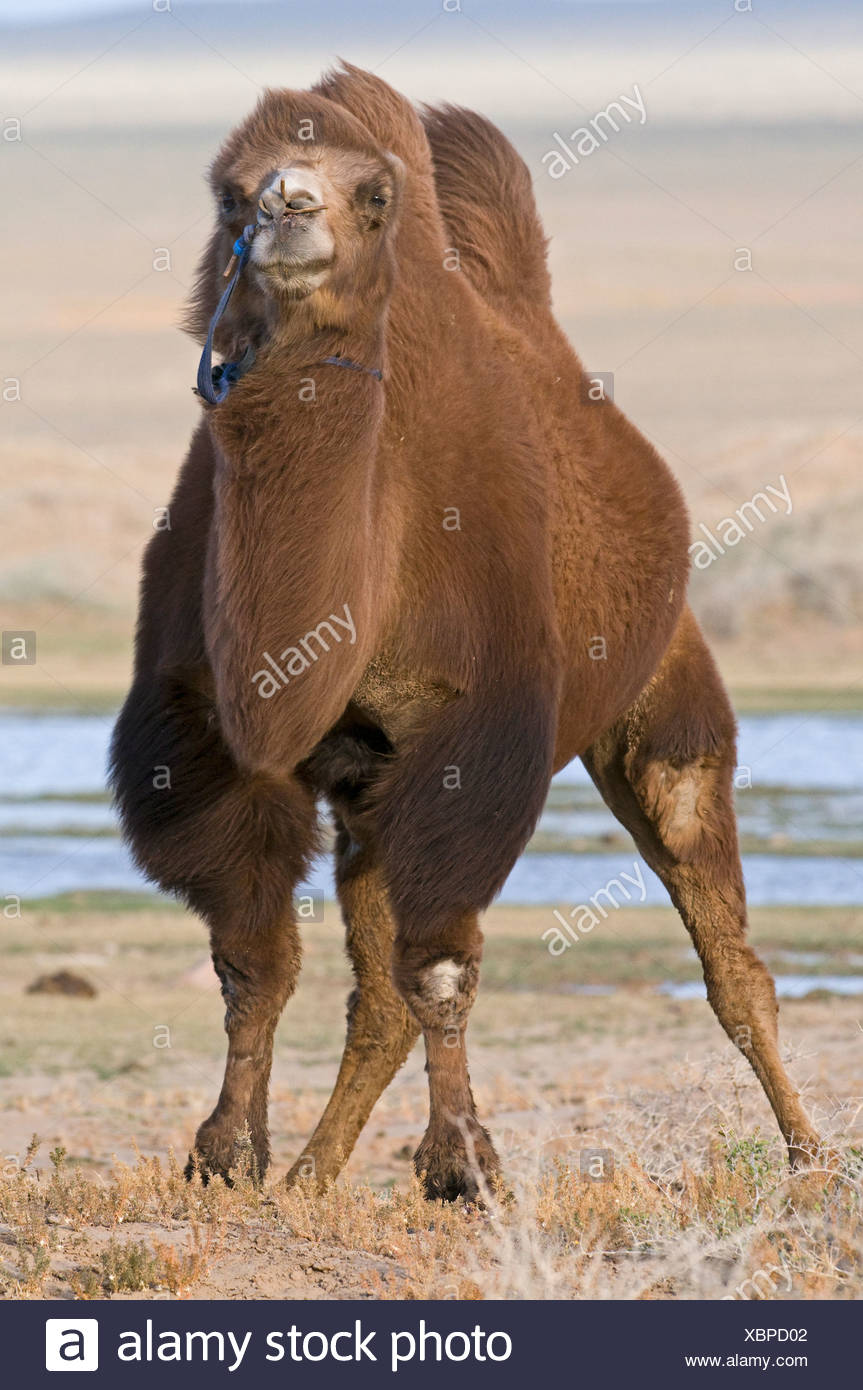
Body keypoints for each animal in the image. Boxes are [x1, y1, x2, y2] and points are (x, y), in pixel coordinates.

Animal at [111, 64, 821, 1202]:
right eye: (227, 194)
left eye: (373, 196)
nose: (286, 207)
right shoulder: (209, 742)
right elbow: (255, 960)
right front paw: (225, 1156)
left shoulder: (470, 737)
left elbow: (439, 962)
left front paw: (460, 1166)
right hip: (364, 796)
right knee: (374, 992)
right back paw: (310, 1174)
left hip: (660, 698)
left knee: (725, 950)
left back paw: (808, 1156)